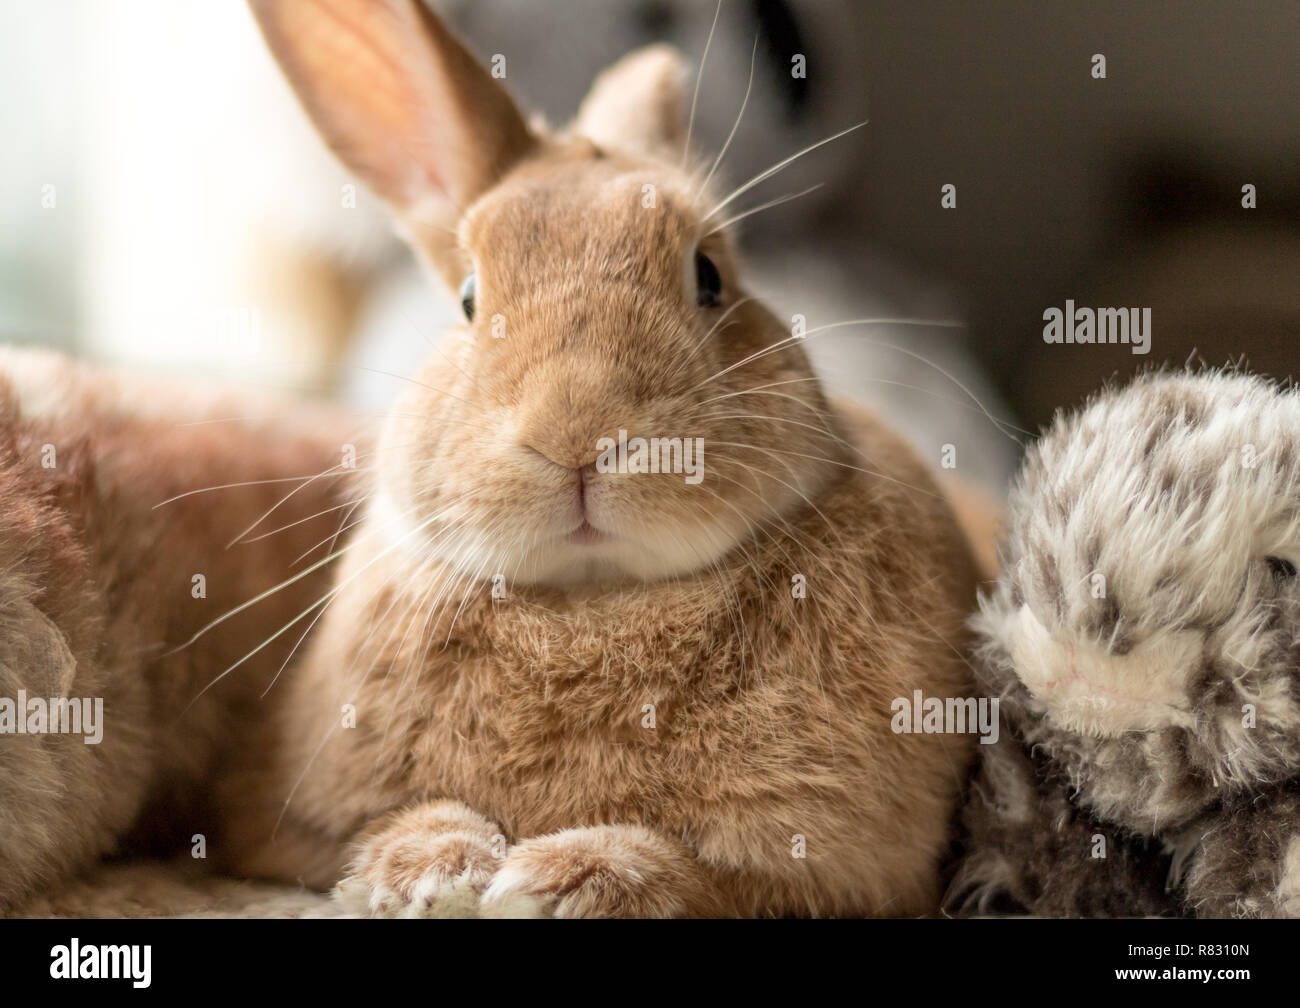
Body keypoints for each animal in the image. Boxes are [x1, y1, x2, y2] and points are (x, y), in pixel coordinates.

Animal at [215, 0, 988, 918]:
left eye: (710, 276)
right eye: (468, 299)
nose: (577, 433)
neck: (593, 600)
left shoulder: (858, 878)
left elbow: (714, 883)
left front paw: (562, 879)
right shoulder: (281, 828)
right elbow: (363, 837)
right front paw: (435, 870)